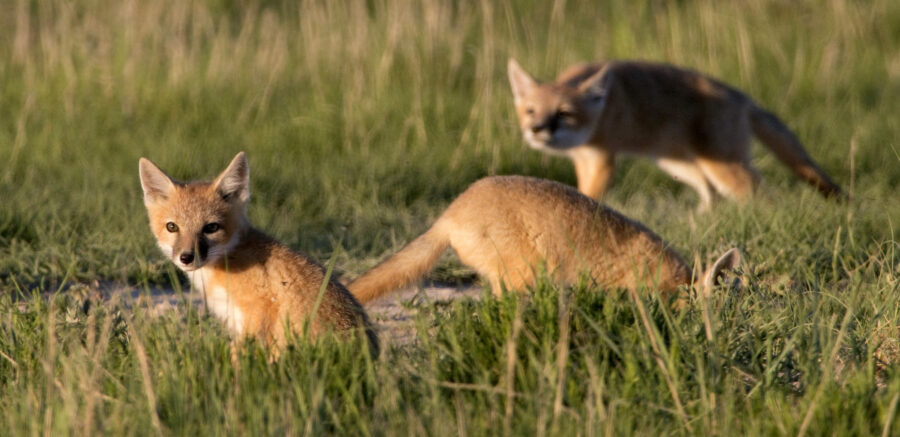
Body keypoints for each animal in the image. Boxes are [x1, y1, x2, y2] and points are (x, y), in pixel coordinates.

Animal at [507, 58, 845, 209]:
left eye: (564, 113)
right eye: (531, 111)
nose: (537, 130)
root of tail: (741, 96)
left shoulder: (602, 159)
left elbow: (590, 194)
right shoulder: (583, 159)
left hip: (723, 167)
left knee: (760, 195)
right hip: (678, 164)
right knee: (710, 193)